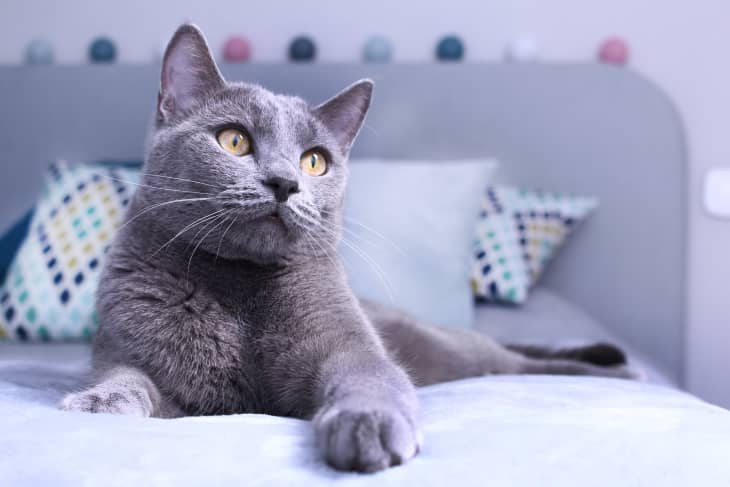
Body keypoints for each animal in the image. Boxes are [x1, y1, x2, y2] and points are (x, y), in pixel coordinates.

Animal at [59, 24, 636, 474]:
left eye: (314, 161)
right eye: (234, 140)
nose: (284, 182)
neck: (237, 285)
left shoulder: (346, 342)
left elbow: (370, 375)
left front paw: (370, 425)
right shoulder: (135, 355)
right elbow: (127, 376)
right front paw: (97, 402)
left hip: (453, 349)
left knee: (516, 362)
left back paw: (619, 373)